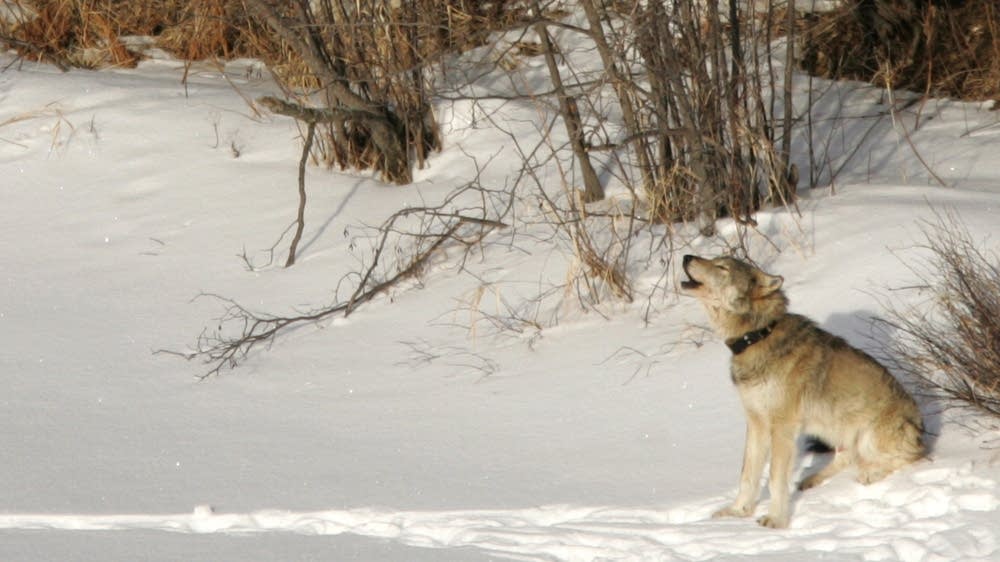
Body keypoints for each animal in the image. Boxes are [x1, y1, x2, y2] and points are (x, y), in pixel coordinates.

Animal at [680, 254, 925, 529]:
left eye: (722, 267)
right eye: (715, 259)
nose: (687, 257)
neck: (758, 336)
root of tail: (920, 427)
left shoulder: (782, 427)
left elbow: (775, 477)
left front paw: (776, 520)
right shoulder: (755, 423)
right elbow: (747, 474)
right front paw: (738, 512)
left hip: (867, 437)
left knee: (914, 457)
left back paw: (871, 474)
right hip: (834, 430)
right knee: (847, 457)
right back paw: (811, 480)